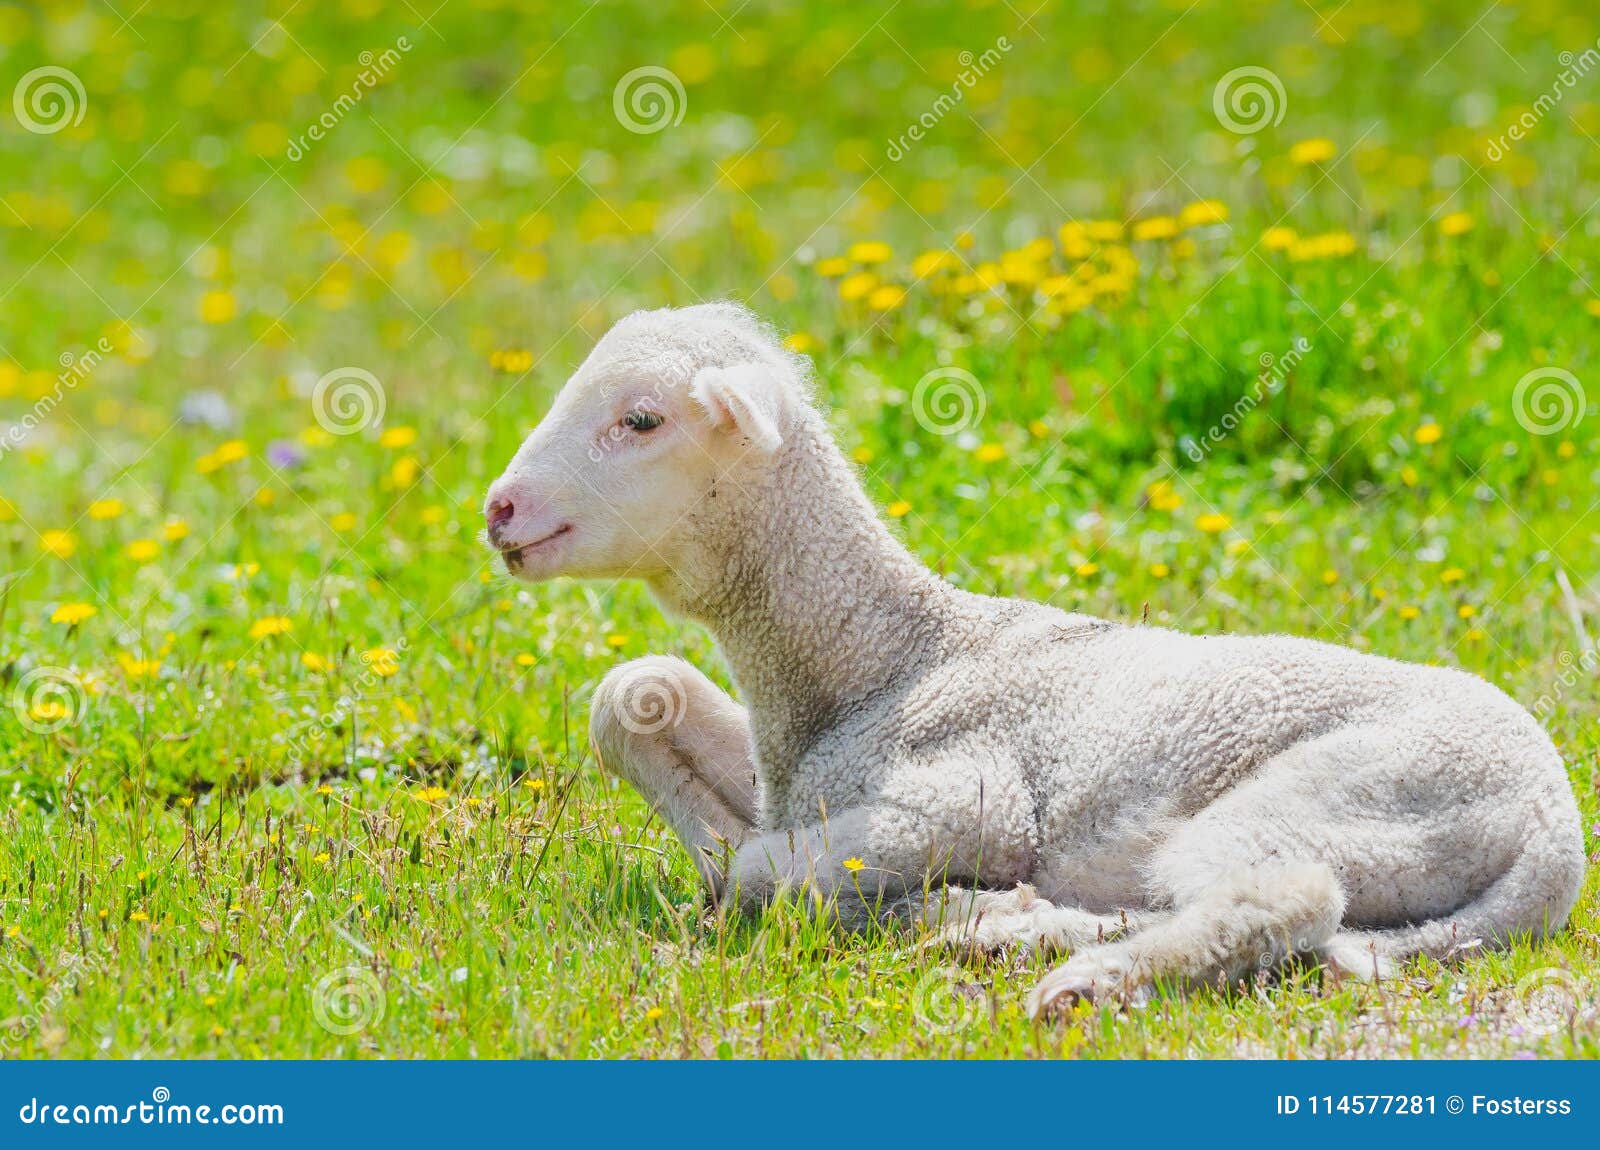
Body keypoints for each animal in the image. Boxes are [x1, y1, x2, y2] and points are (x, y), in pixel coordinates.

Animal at [483, 301, 1586, 1016]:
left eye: (640, 419)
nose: (499, 508)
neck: (884, 662)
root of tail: (1555, 837)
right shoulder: (790, 764)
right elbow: (636, 692)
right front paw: (724, 841)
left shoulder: (964, 791)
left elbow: (766, 872)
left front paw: (763, 884)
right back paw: (1016, 928)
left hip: (1354, 796)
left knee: (1286, 896)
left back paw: (1072, 974)